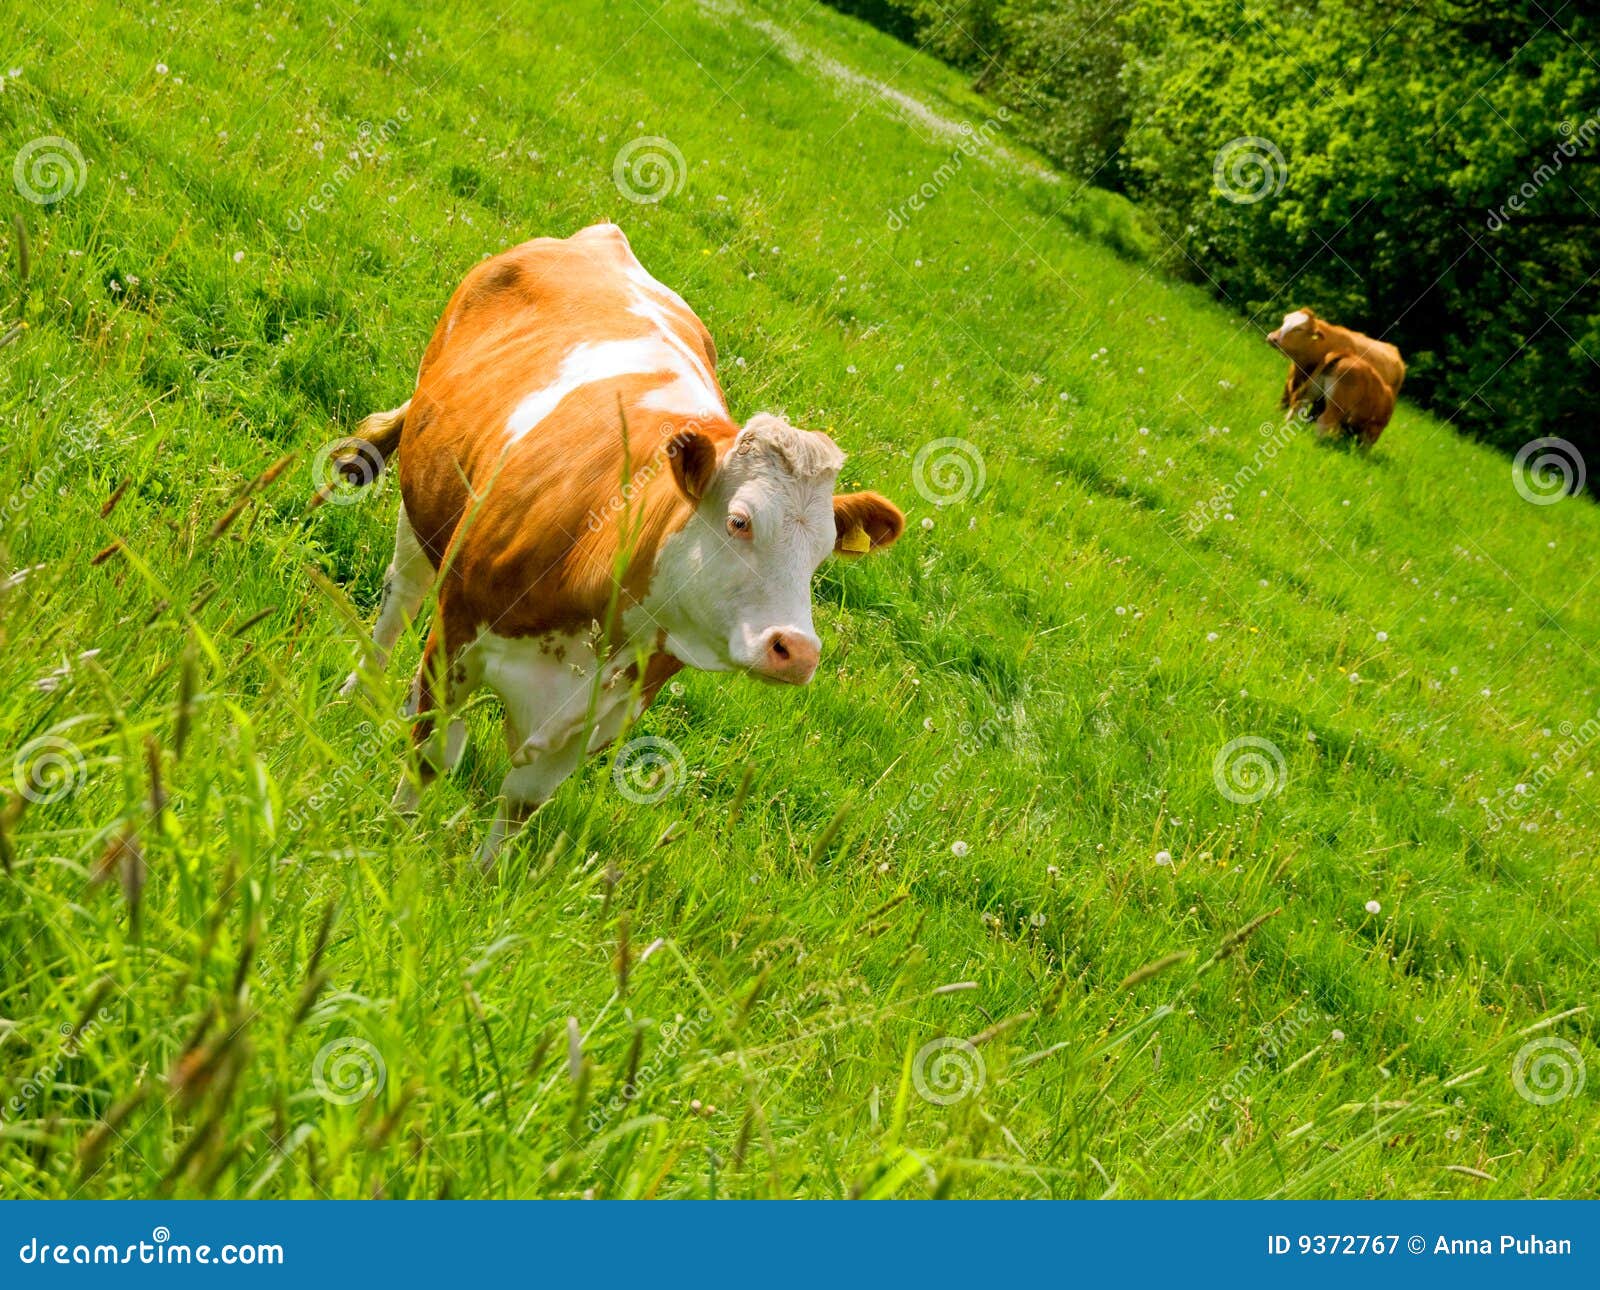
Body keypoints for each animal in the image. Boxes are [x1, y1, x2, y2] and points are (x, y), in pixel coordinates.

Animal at [332, 223, 904, 864]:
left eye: (823, 553)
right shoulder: (456, 631)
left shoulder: (604, 717)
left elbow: (521, 802)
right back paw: (358, 692)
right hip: (425, 501)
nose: (798, 650)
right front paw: (393, 833)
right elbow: (429, 752)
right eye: (739, 521)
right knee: (400, 599)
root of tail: (602, 236)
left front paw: (483, 875)